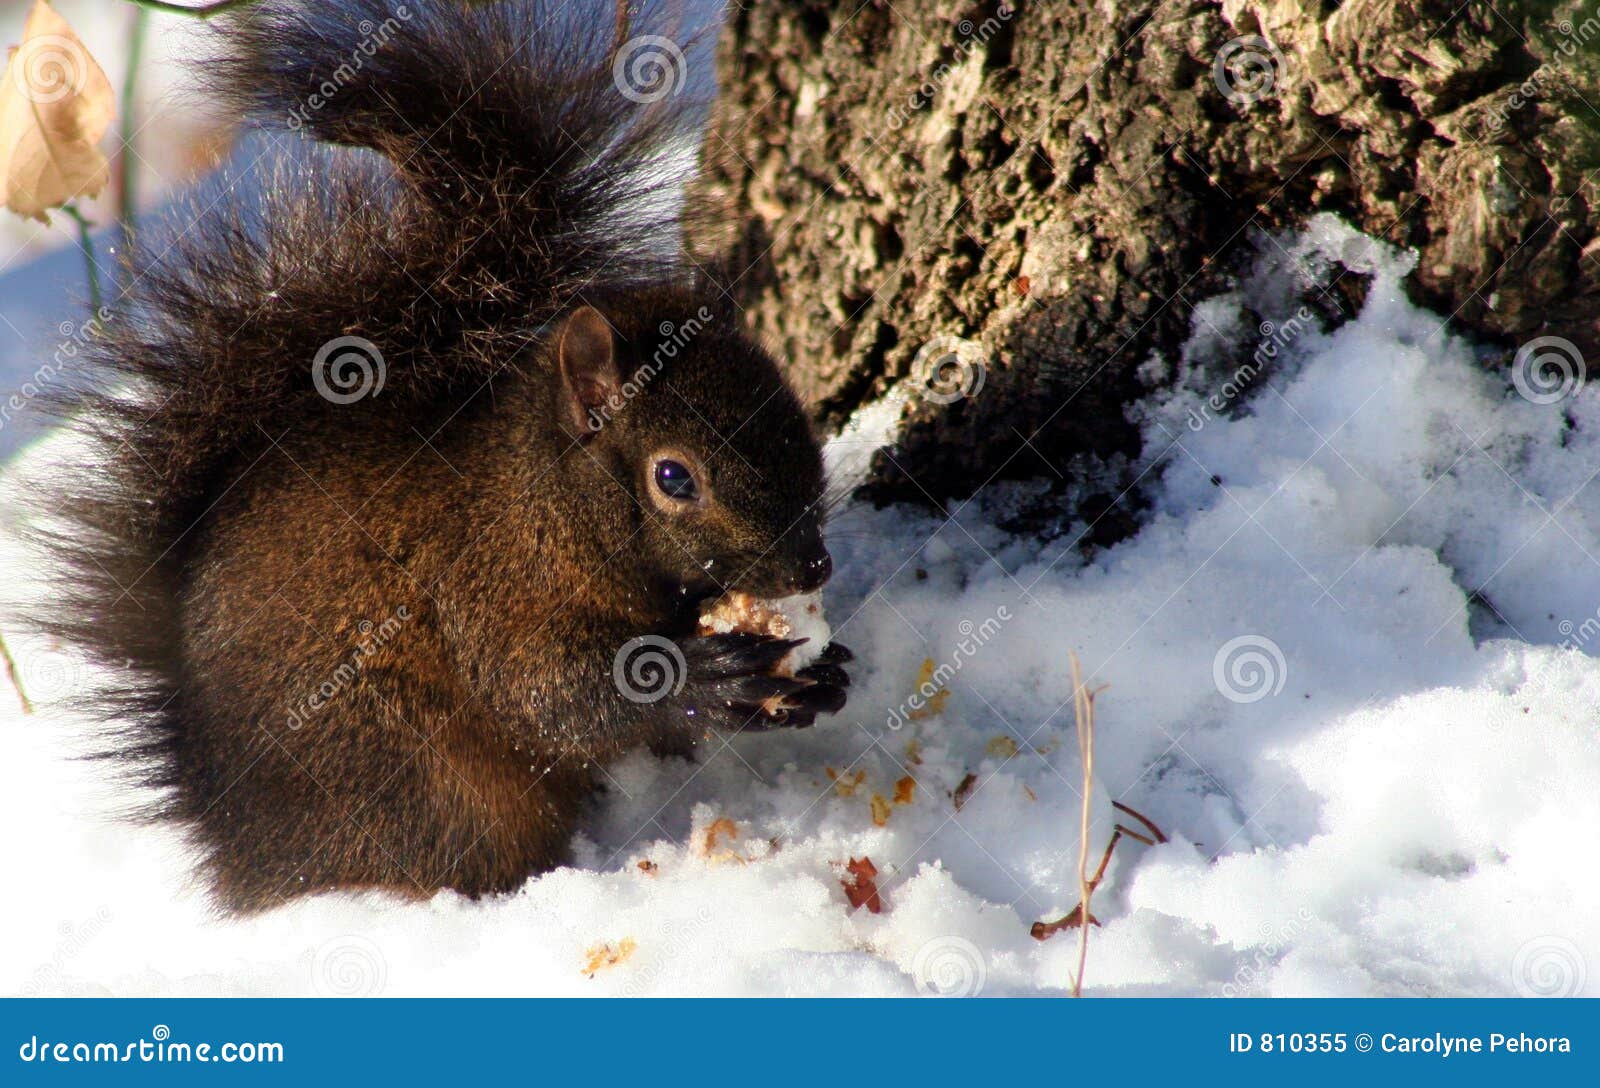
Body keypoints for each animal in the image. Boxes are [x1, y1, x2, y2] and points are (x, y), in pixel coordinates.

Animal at [34, 0, 851, 912]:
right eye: (674, 477)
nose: (812, 566)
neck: (543, 500)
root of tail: (238, 844)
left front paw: (826, 676)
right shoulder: (490, 583)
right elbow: (546, 692)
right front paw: (704, 676)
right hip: (417, 779)